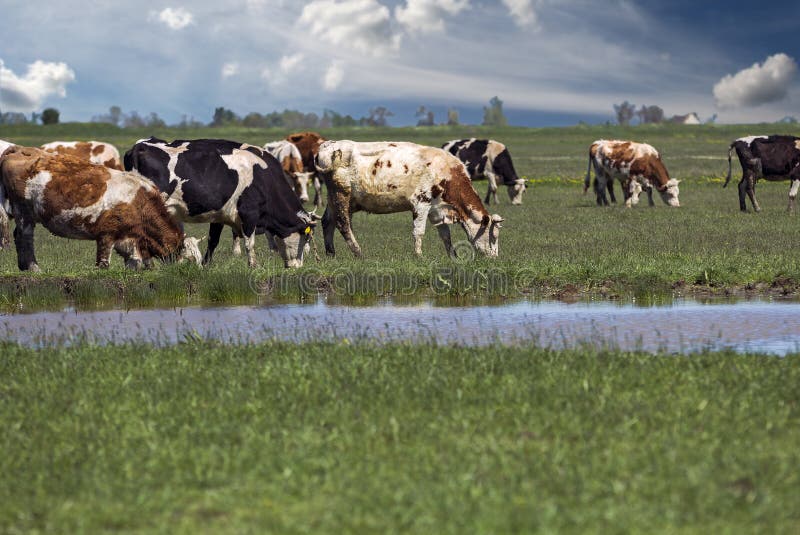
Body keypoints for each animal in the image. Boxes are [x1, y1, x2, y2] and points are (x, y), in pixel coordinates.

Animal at [0, 146, 202, 271]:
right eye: (190, 261)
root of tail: (20, 150)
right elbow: (104, 262)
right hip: (24, 212)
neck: (140, 202)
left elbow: (137, 261)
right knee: (24, 238)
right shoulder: (107, 234)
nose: (198, 274)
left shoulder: (131, 238)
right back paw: (33, 267)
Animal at [123, 137, 317, 268]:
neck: (264, 179)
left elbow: (213, 240)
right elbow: (250, 243)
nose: (298, 266)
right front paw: (254, 266)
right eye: (306, 238)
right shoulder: (249, 213)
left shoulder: (219, 215)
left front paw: (205, 264)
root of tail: (140, 147)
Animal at [315, 140, 504, 258]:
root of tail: (327, 146)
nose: (495, 257)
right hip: (341, 195)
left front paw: (453, 256)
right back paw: (358, 253)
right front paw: (419, 255)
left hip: (334, 199)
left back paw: (331, 254)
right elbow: (418, 232)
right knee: (343, 224)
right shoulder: (421, 203)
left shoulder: (437, 210)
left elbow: (445, 235)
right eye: (493, 237)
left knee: (327, 222)